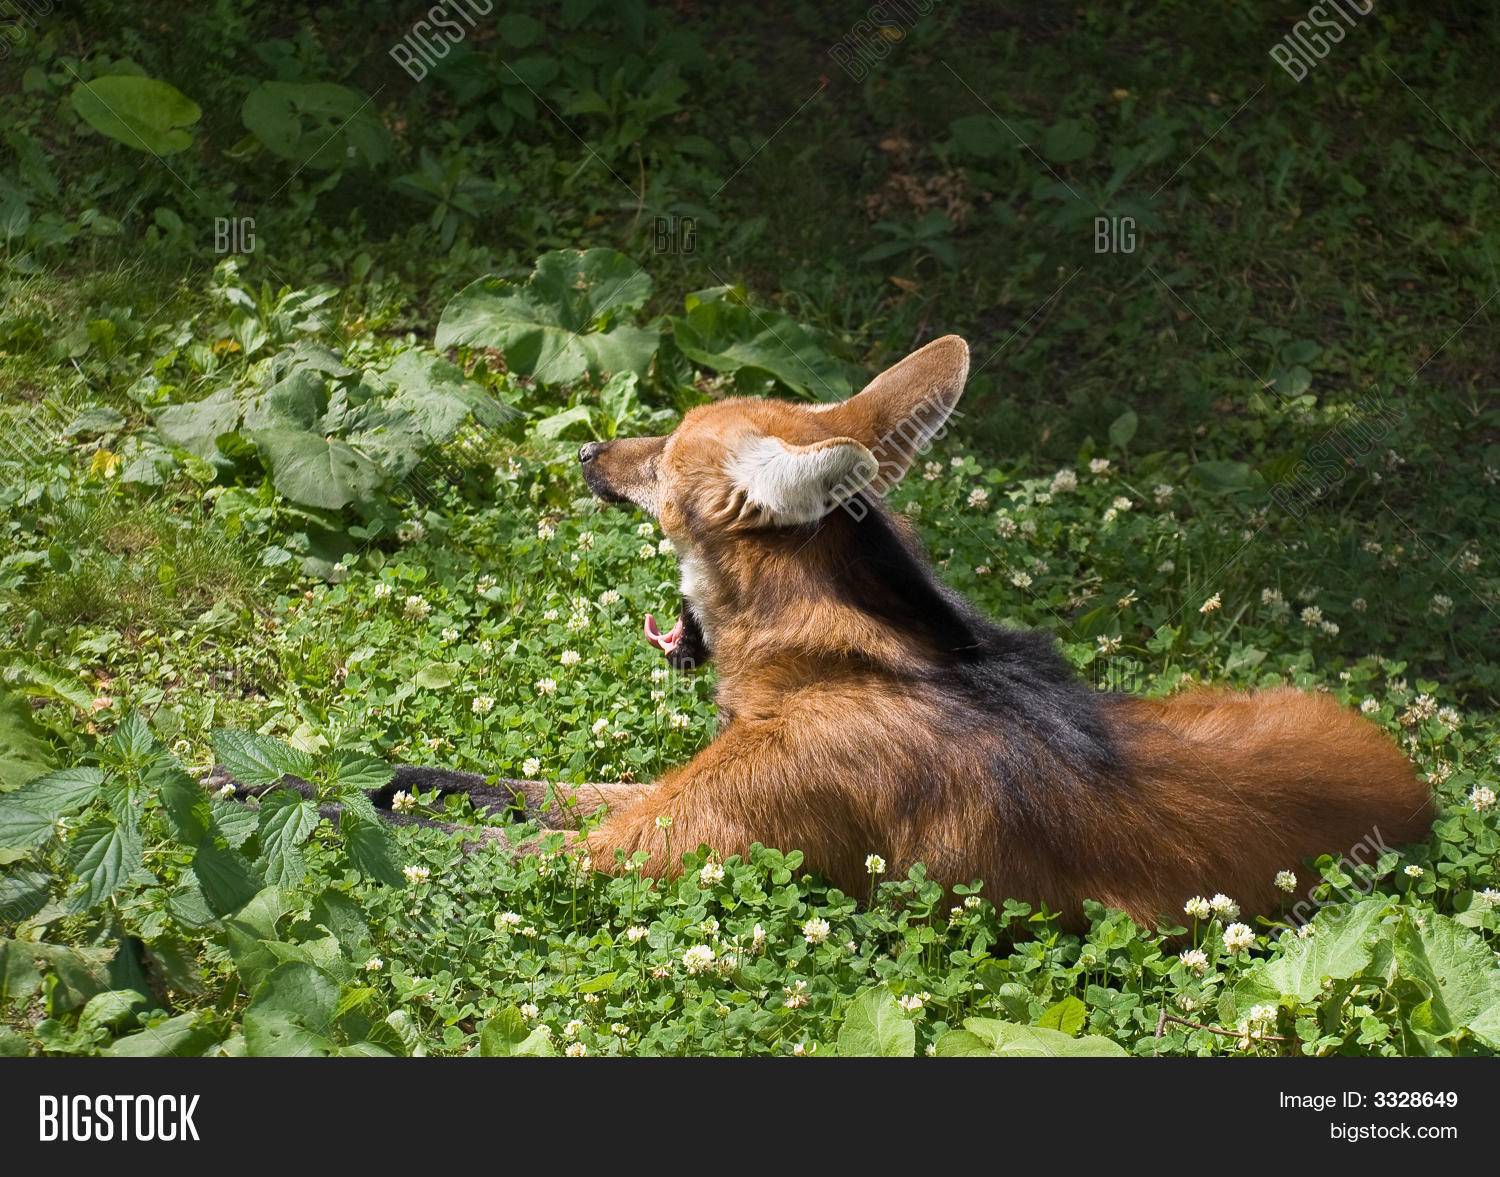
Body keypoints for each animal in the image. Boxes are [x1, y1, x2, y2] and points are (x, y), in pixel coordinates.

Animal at [228, 336, 1434, 930]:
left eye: (663, 453)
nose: (586, 453)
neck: (829, 667)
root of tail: (1419, 792)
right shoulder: (671, 800)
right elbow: (445, 779)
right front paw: (267, 777)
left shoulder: (645, 852)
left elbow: (420, 832)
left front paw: (246, 805)